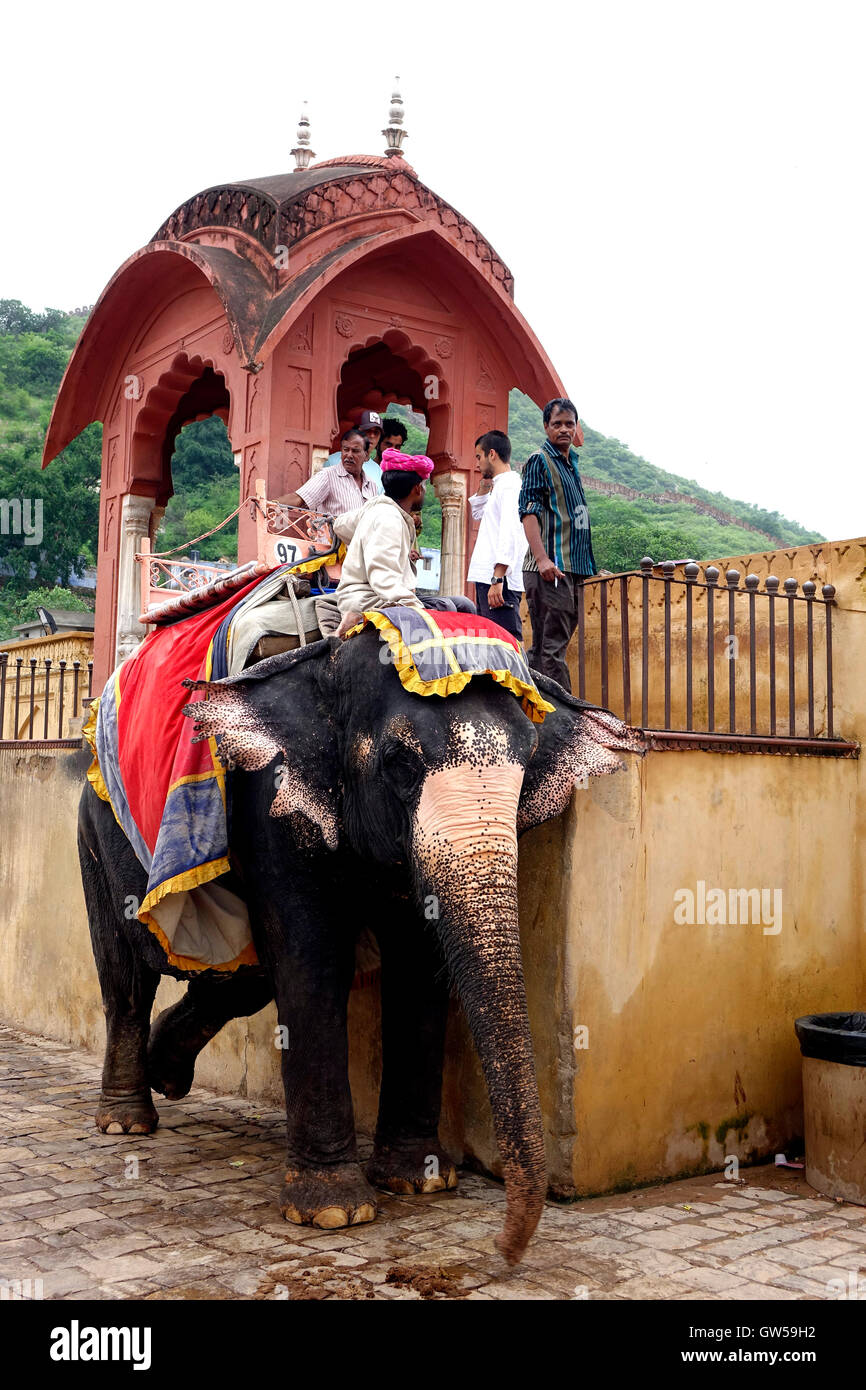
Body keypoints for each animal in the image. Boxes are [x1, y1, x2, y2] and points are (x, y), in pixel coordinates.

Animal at [77, 626, 643, 1265]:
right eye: (399, 763)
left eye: (526, 765)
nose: (505, 1249)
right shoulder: (271, 800)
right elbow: (313, 961)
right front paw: (334, 1212)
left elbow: (418, 965)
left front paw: (419, 1182)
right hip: (94, 830)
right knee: (126, 976)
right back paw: (126, 1122)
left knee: (238, 980)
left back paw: (166, 1074)